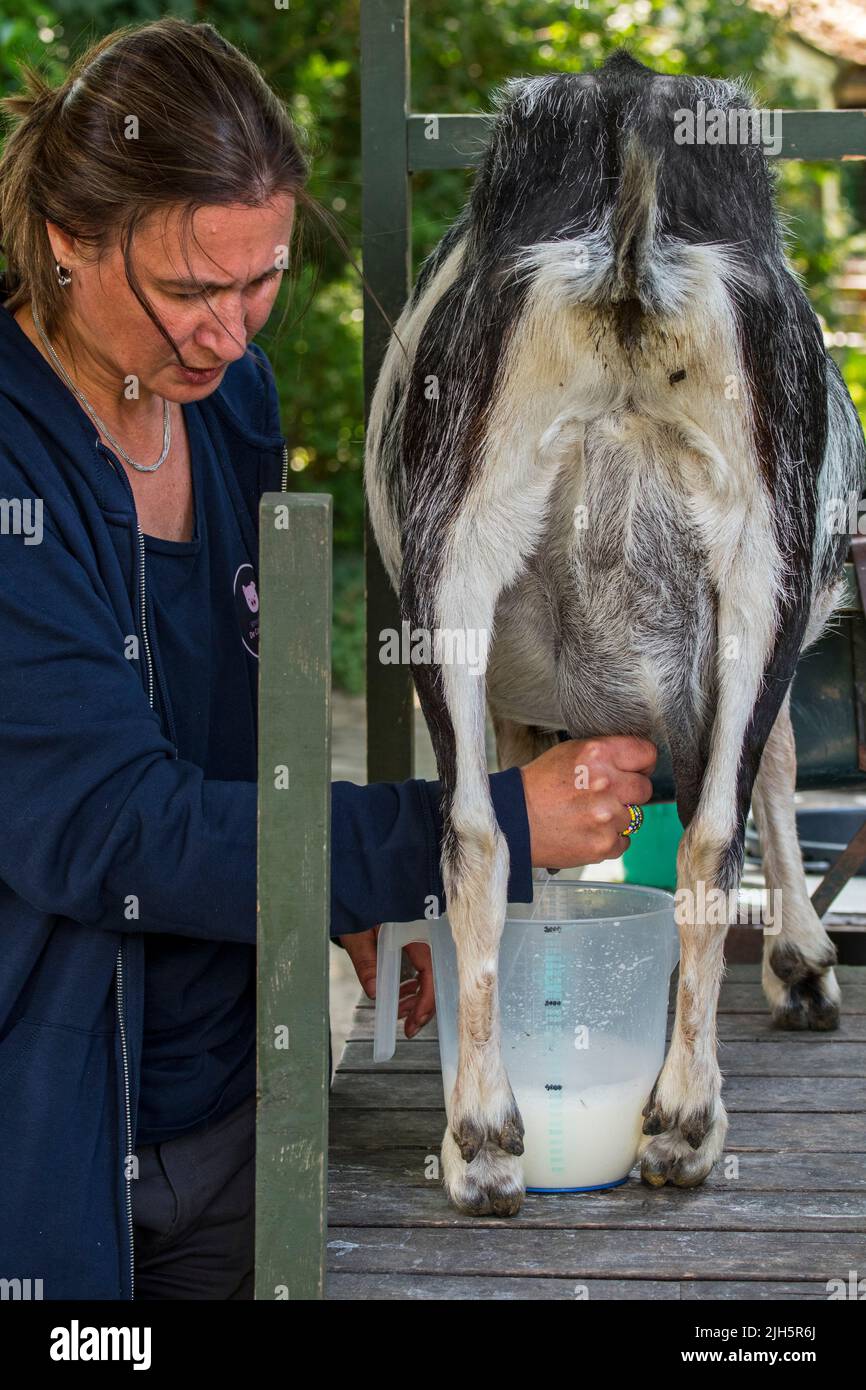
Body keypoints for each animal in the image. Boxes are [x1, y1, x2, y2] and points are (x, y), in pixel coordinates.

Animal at [364, 50, 866, 1216]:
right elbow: (779, 767)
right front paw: (801, 962)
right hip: (763, 564)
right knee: (710, 834)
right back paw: (682, 1126)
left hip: (454, 557)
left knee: (478, 835)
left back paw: (486, 1140)